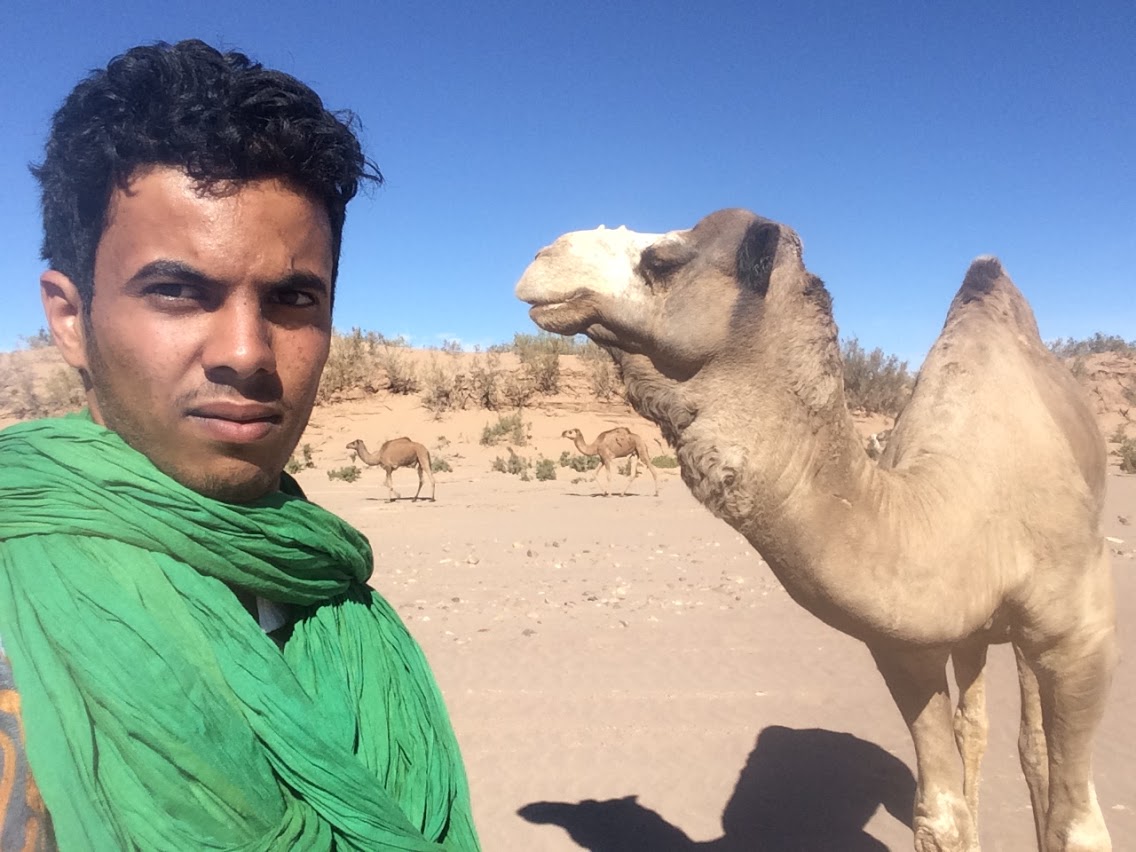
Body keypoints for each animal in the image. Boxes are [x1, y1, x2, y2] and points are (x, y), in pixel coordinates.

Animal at [516, 209, 1116, 851]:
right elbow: (937, 813)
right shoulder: (904, 646)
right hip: (972, 631)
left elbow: (1078, 827)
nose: (544, 256)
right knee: (973, 722)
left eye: (664, 260)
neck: (956, 498)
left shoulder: (1083, 636)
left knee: (1033, 745)